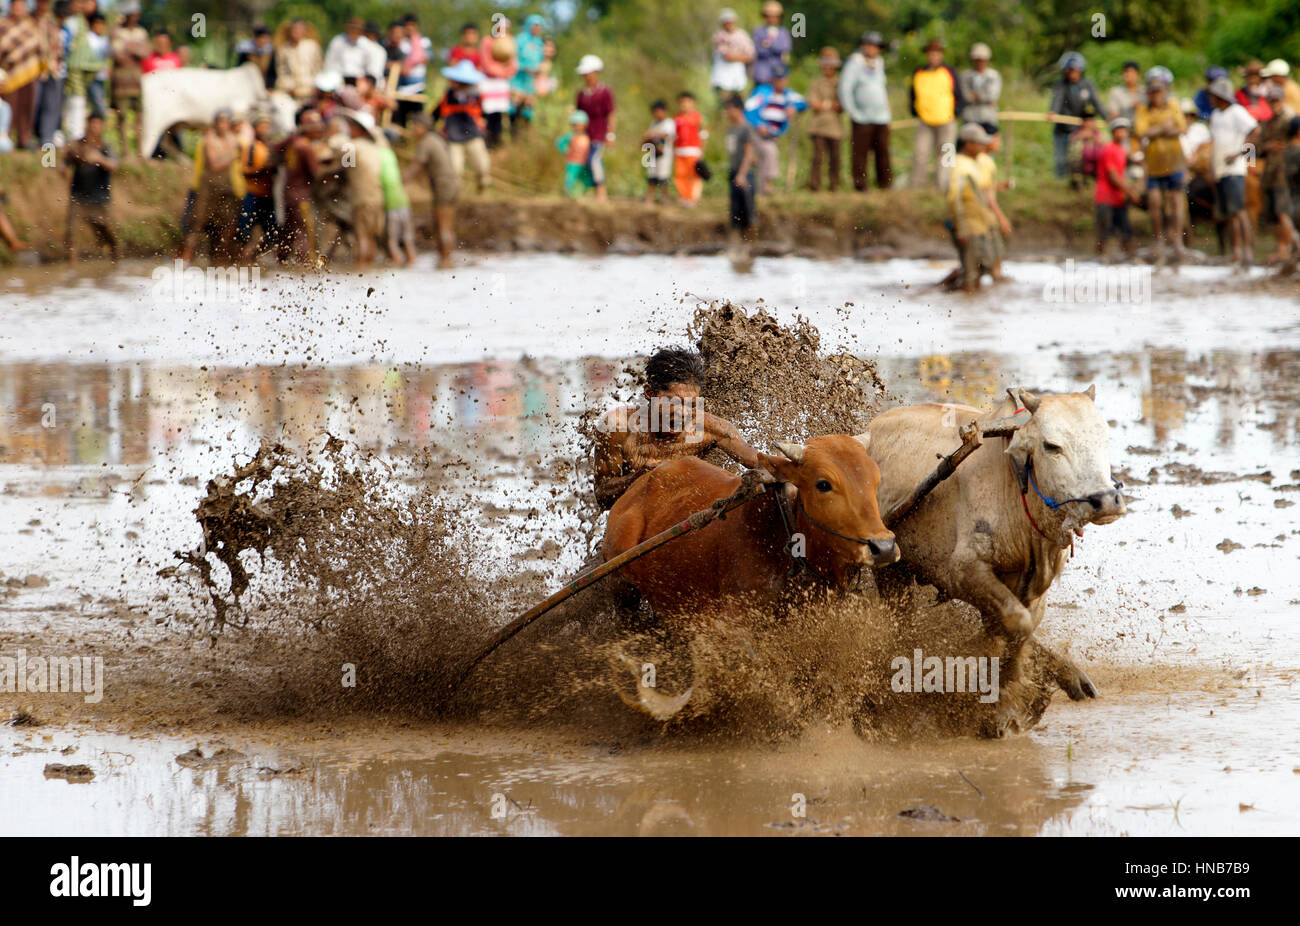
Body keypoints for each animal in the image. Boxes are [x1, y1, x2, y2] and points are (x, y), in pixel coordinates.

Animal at [140, 63, 296, 158]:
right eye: (275, 109)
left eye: (294, 111)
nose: (291, 130)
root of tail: (144, 80)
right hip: (152, 124)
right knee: (144, 151)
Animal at [602, 434, 898, 717]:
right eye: (823, 484)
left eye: (876, 479)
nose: (882, 547)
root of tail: (634, 492)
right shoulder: (730, 625)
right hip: (620, 584)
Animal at [863, 386, 1125, 732]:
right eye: (1051, 446)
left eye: (1103, 438)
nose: (1106, 500)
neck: (1015, 488)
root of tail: (868, 433)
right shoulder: (963, 572)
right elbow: (1015, 623)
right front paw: (1003, 696)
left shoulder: (1031, 586)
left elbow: (1017, 628)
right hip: (892, 571)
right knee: (903, 628)